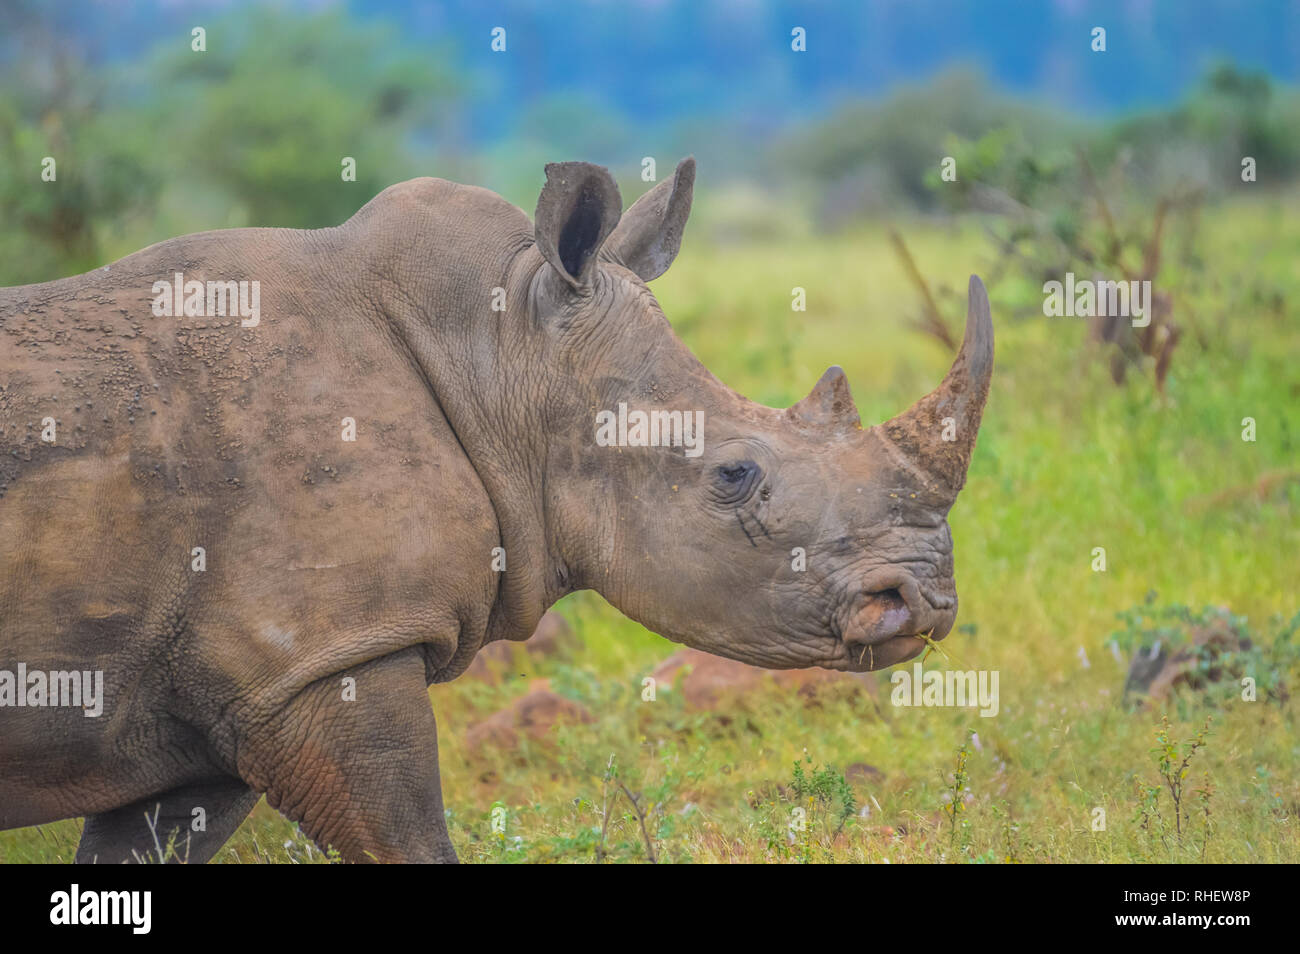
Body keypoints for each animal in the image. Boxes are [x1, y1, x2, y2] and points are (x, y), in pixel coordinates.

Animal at [0, 158, 992, 863]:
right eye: (735, 476)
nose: (926, 601)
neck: (498, 352)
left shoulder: (217, 696)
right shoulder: (329, 654)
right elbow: (409, 840)